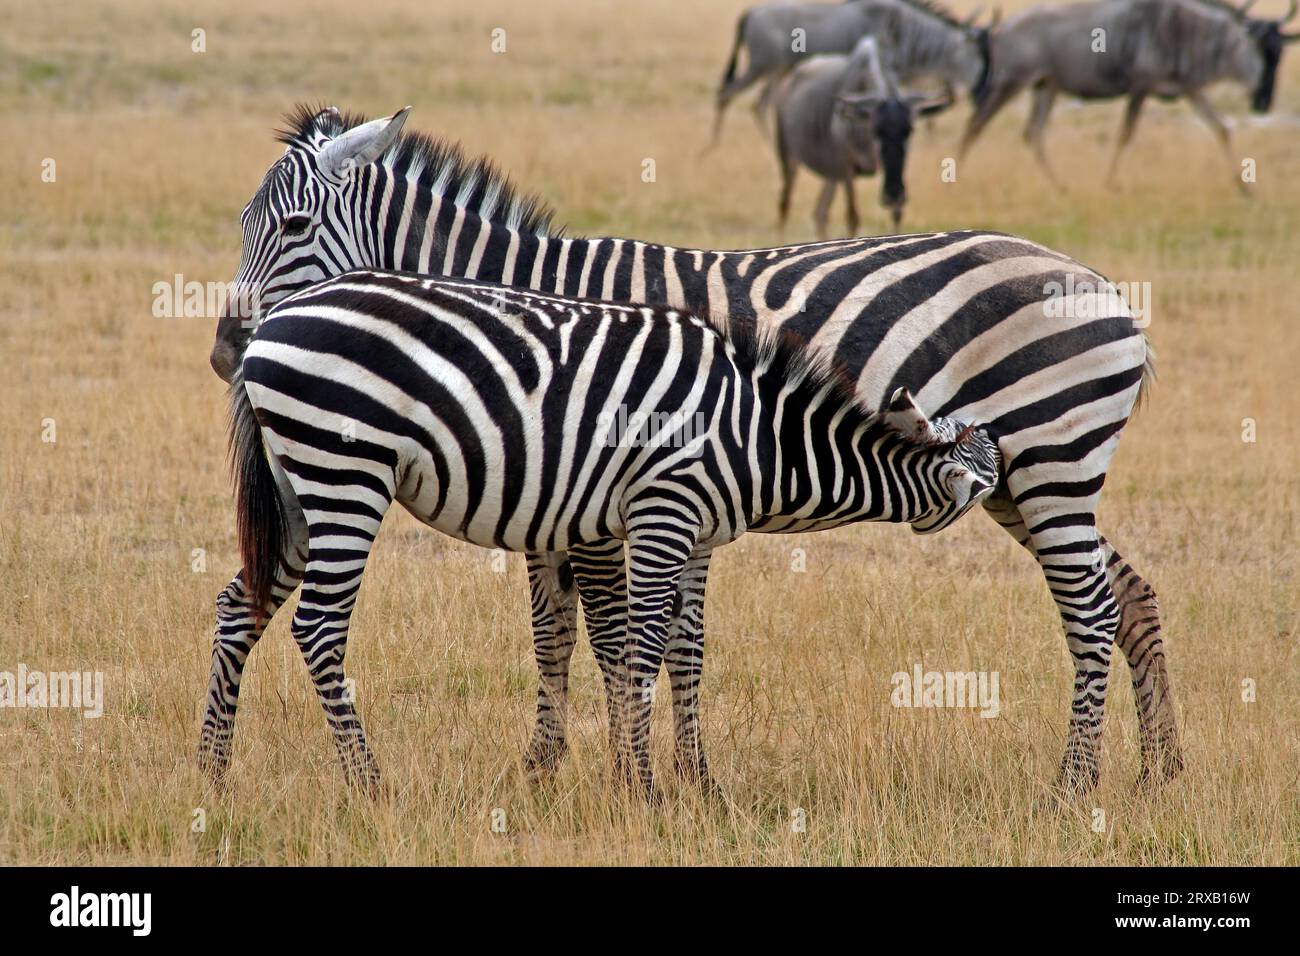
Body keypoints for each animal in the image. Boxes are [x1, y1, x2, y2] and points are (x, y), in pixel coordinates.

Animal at [223, 268, 1002, 794]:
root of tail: (274, 320)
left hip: (298, 489)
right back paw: (370, 784)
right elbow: (640, 646)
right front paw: (642, 787)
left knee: (239, 606)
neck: (760, 438)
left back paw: (214, 773)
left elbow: (685, 651)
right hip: (345, 472)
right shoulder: (663, 512)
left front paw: (699, 784)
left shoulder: (698, 533)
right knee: (319, 627)